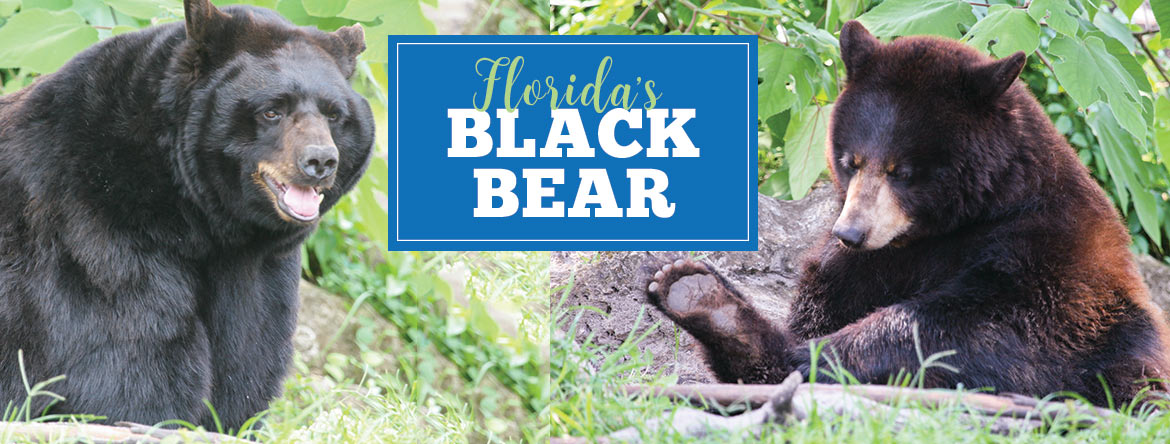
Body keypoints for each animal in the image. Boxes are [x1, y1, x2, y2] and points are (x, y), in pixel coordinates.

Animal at [0, 0, 373, 431]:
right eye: (272, 111)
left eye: (333, 114)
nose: (320, 161)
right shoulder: (93, 235)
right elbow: (131, 358)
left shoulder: (258, 268)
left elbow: (250, 353)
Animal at [647, 20, 1170, 408]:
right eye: (851, 160)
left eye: (903, 171)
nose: (850, 232)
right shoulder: (857, 267)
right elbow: (819, 308)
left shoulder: (1052, 251)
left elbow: (992, 327)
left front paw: (805, 355)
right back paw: (698, 294)